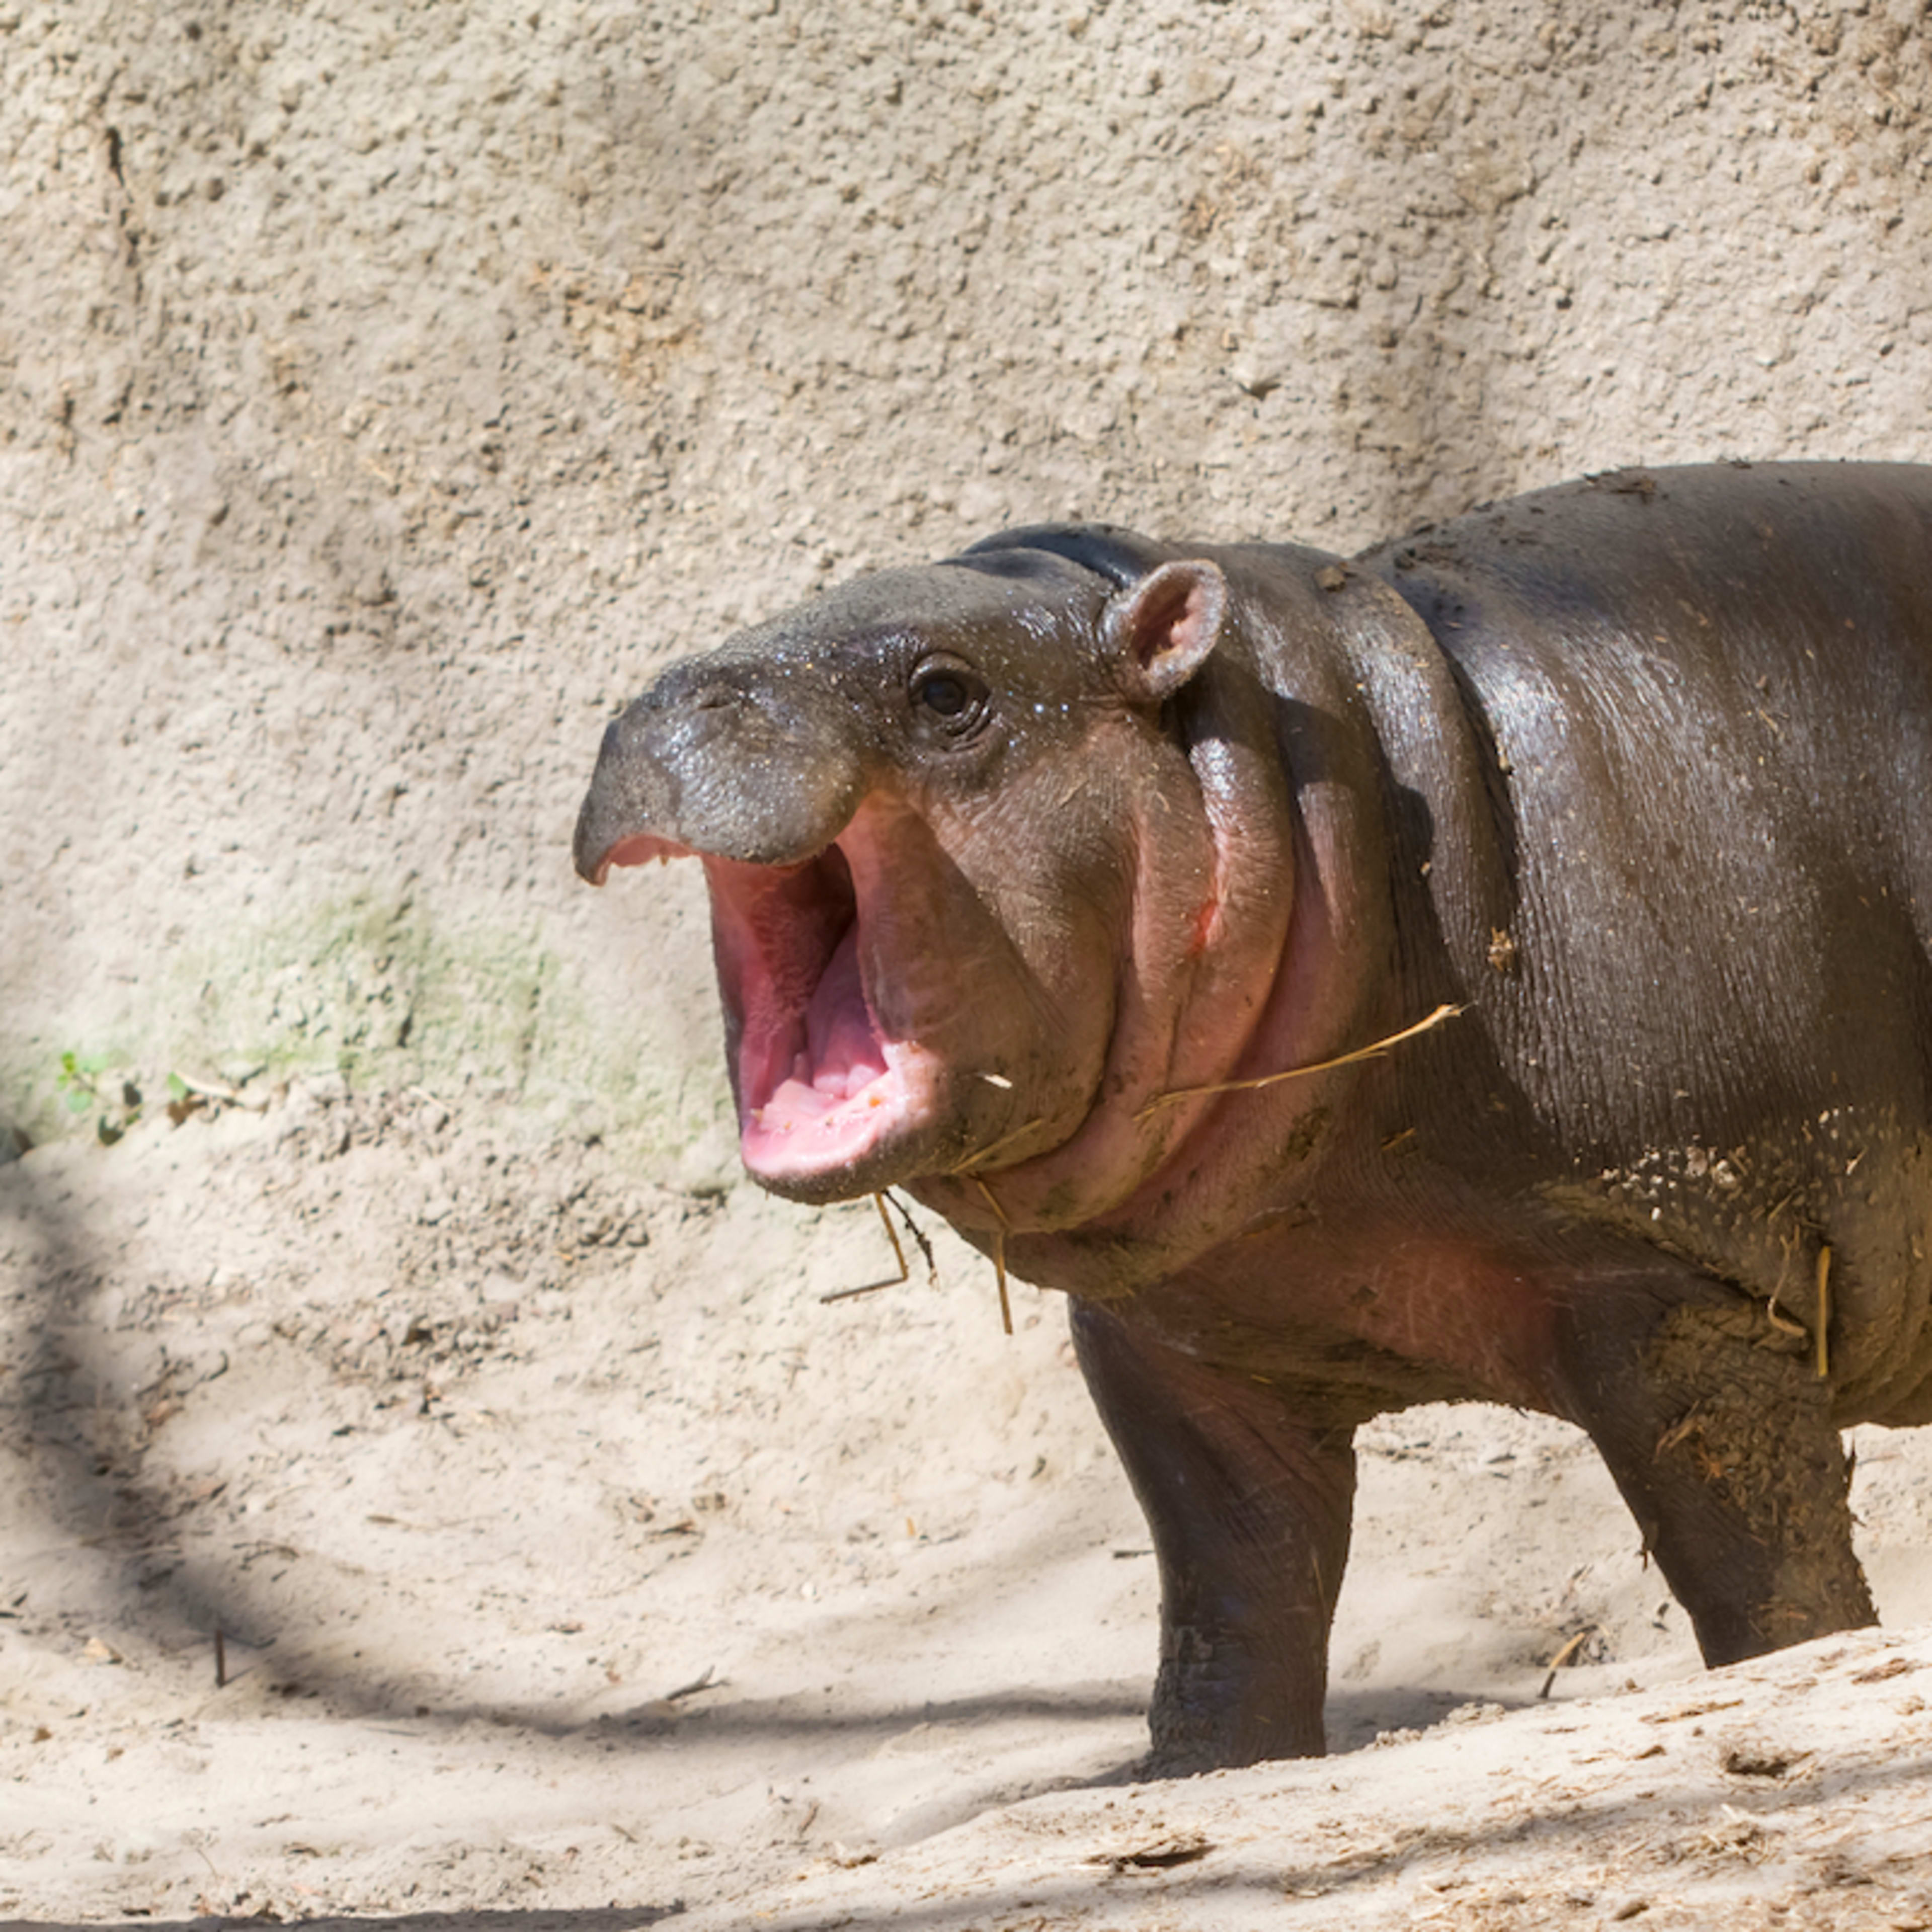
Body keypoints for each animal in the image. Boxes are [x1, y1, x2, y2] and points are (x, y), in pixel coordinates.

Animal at [574, 463, 1932, 1772]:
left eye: (946, 691)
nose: (662, 711)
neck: (1336, 796)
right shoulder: (1177, 1344)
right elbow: (1234, 1598)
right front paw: (1196, 1774)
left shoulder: (1677, 1282)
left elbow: (1760, 1570)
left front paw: (1801, 1679)